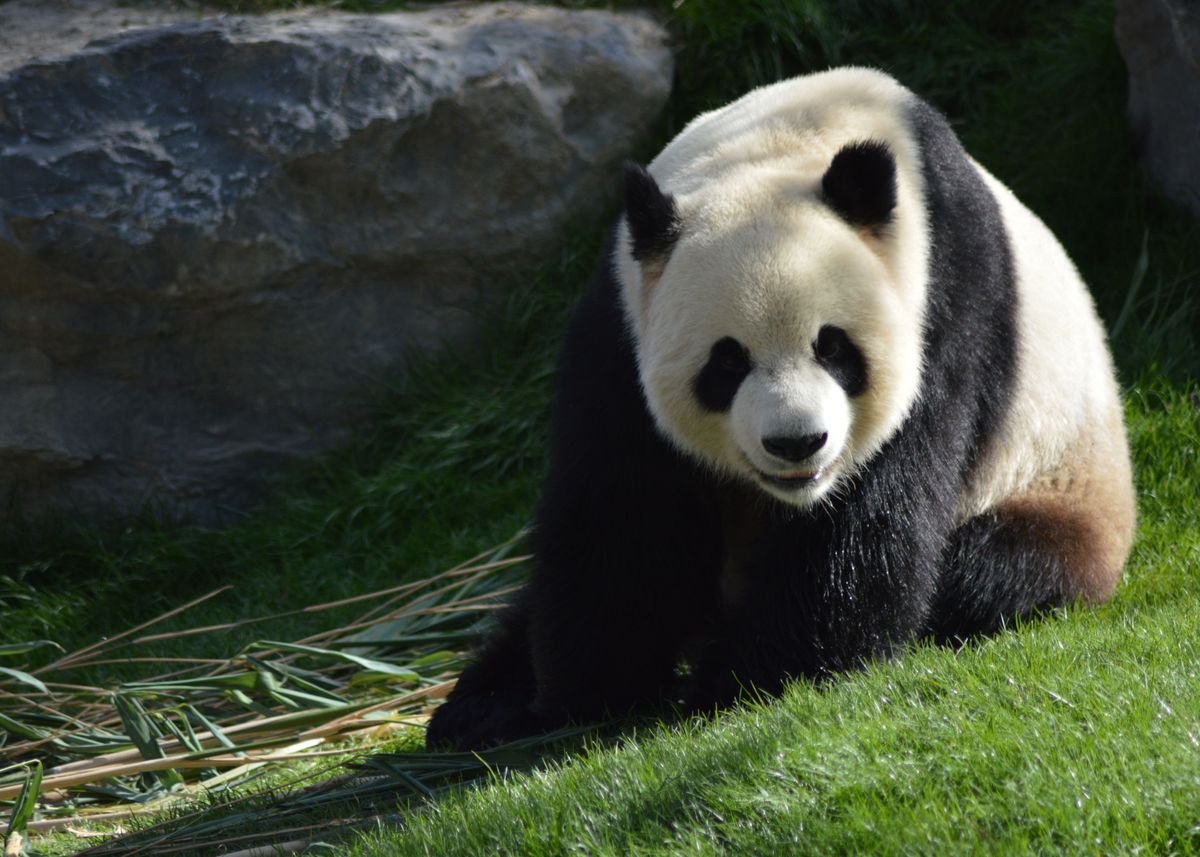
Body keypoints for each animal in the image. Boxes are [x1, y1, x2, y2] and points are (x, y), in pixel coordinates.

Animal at [426, 67, 1136, 751]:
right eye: (727, 362)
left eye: (833, 346)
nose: (797, 444)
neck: (779, 144)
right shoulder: (621, 319)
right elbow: (619, 515)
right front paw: (572, 699)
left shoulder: (944, 303)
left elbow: (865, 528)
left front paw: (734, 681)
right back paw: (477, 704)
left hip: (1059, 489)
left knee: (991, 573)